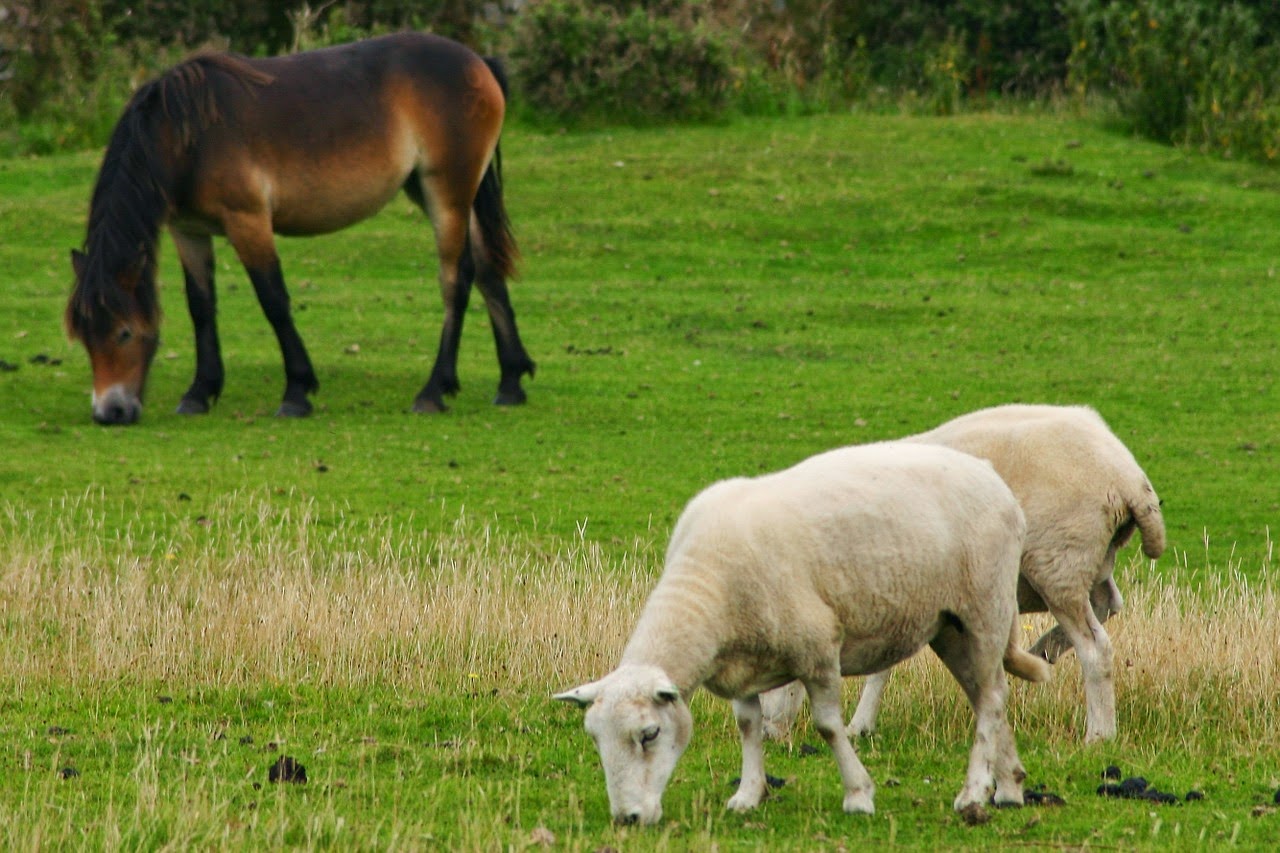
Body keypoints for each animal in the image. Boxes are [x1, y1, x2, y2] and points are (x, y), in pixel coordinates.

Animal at [555, 442, 1051, 825]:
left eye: (650, 734)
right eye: (595, 738)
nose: (627, 818)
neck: (710, 592)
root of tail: (989, 474)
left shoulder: (818, 648)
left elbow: (828, 726)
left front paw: (858, 794)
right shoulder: (742, 665)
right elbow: (749, 726)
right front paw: (748, 795)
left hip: (985, 606)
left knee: (990, 697)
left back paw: (973, 792)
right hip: (947, 626)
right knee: (987, 693)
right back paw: (1008, 787)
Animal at [760, 404, 1165, 744]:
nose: (767, 733)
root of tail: (1128, 477)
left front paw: (857, 724)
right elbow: (883, 667)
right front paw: (862, 725)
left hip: (1057, 563)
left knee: (1096, 649)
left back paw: (1098, 735)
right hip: (1087, 561)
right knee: (1108, 603)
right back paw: (1042, 651)